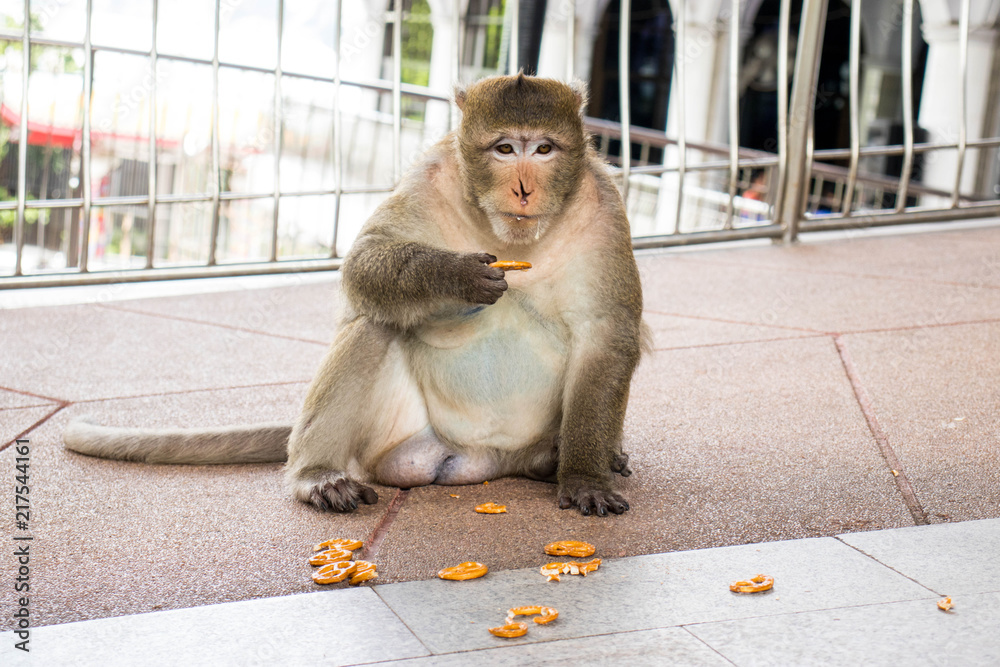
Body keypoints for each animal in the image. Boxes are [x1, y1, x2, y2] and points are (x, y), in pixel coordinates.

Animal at [64, 73, 646, 517]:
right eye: (505, 149)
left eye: (544, 149)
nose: (523, 189)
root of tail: (486, 462)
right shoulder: (430, 178)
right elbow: (365, 262)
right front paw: (454, 275)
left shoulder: (604, 209)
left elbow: (607, 335)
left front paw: (585, 475)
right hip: (393, 443)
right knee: (374, 321)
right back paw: (316, 475)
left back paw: (552, 460)